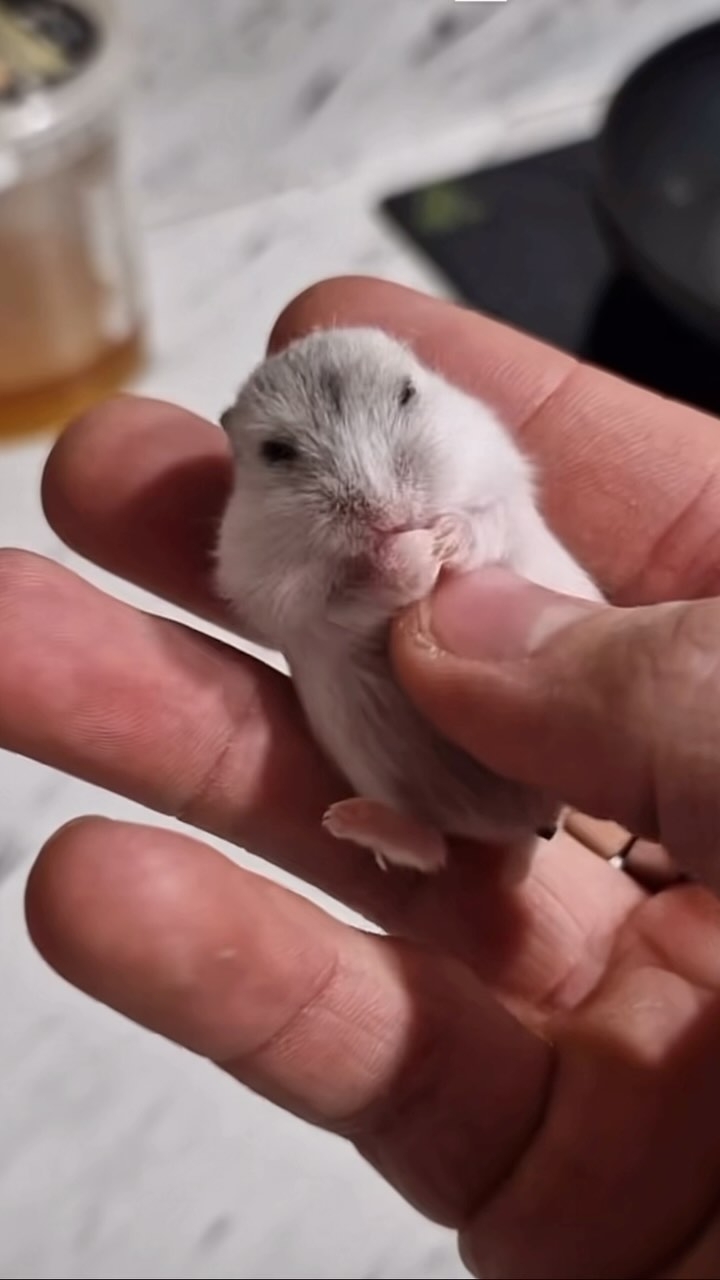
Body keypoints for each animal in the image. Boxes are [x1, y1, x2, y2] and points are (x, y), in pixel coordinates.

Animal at [215, 326, 602, 873]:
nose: (390, 518)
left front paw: (440, 541)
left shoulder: (502, 485)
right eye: (277, 451)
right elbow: (352, 592)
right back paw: (346, 820)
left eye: (407, 394)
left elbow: (484, 524)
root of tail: (523, 822)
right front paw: (411, 550)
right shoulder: (279, 592)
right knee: (431, 847)